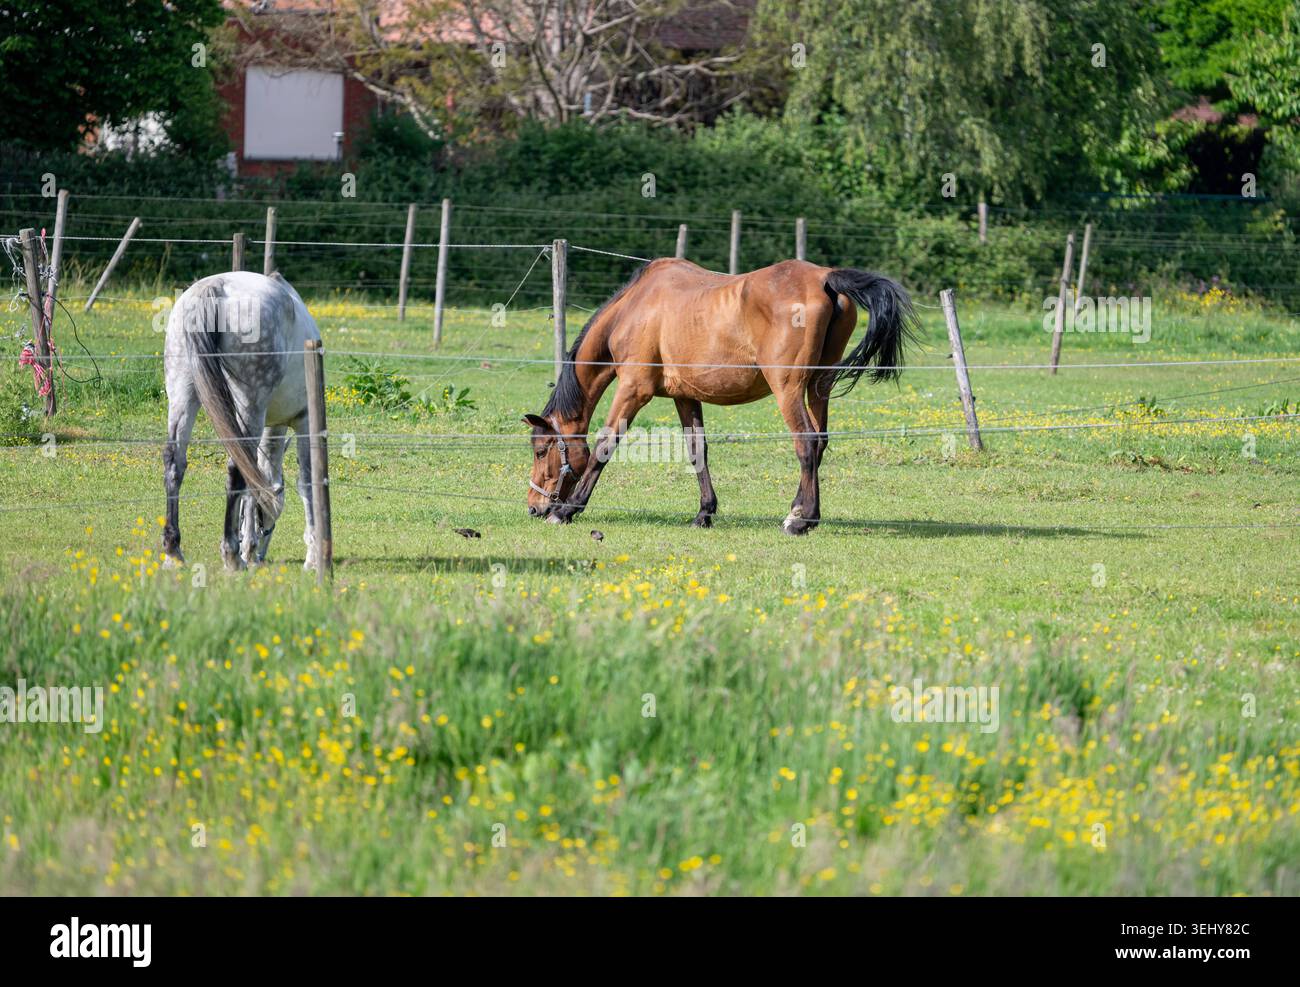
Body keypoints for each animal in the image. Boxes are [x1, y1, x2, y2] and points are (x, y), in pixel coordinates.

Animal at [161, 271, 322, 571]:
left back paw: (173, 551)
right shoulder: (304, 420)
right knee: (236, 469)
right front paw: (313, 555)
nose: (261, 552)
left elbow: (254, 480)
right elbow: (306, 482)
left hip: (182, 395)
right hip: (249, 404)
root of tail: (215, 287)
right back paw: (232, 555)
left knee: (174, 462)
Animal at [523, 258, 918, 534]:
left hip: (788, 388)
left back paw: (801, 521)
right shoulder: (684, 396)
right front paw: (704, 513)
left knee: (806, 443)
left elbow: (605, 446)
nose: (533, 507)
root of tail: (824, 277)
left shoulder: (633, 390)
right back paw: (797, 511)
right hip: (819, 386)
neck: (634, 309)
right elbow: (697, 449)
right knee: (820, 441)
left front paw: (568, 509)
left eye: (541, 450)